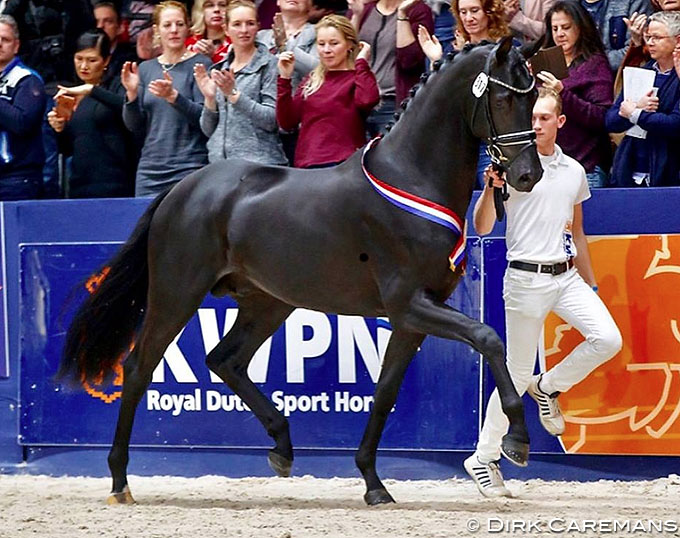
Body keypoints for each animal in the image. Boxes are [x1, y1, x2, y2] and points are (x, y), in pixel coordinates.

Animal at [59, 37, 543, 506]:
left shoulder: (413, 318)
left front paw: (373, 484)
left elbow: (385, 392)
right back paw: (120, 482)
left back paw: (282, 448)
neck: (411, 177)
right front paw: (518, 441)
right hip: (177, 293)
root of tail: (182, 189)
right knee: (140, 366)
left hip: (267, 303)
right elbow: (487, 337)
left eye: (535, 96)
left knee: (225, 359)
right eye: (503, 98)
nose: (528, 175)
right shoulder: (409, 304)